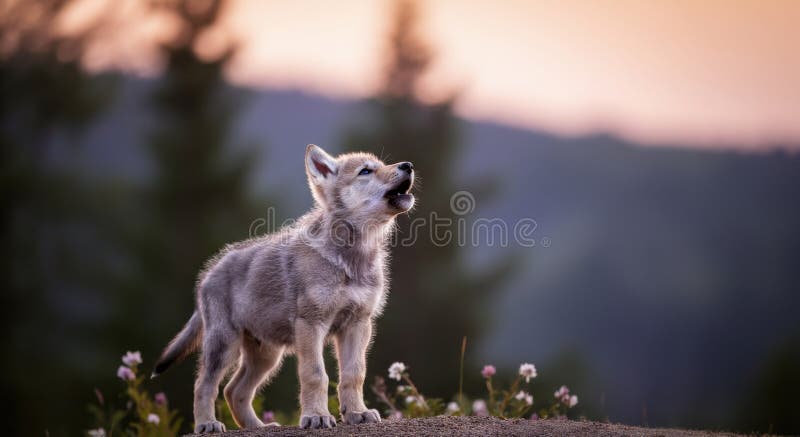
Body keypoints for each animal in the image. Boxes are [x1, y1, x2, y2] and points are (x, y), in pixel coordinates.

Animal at [151, 144, 415, 433]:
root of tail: (208, 273)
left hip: (266, 355)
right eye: (366, 171)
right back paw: (208, 424)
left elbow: (354, 374)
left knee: (234, 391)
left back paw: (259, 426)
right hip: (225, 345)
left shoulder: (358, 324)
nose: (408, 165)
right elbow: (315, 375)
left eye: (382, 164)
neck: (352, 258)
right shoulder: (311, 324)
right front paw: (316, 417)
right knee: (204, 385)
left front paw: (358, 412)